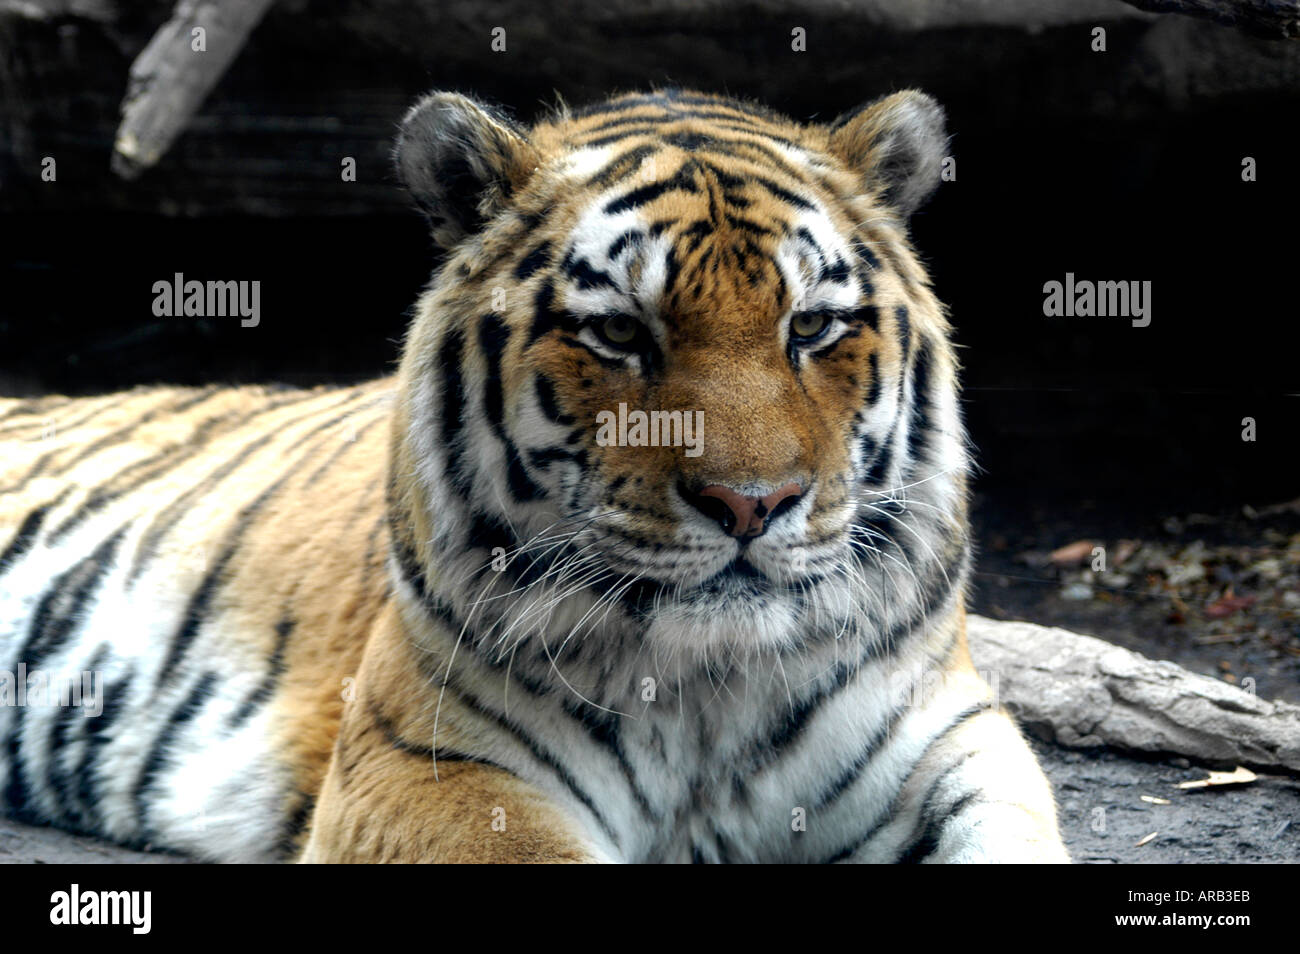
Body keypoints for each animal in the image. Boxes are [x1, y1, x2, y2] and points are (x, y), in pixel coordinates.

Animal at [0, 87, 1069, 863]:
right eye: (619, 333)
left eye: (810, 327)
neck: (711, 690)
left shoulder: (952, 740)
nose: (750, 506)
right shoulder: (426, 764)